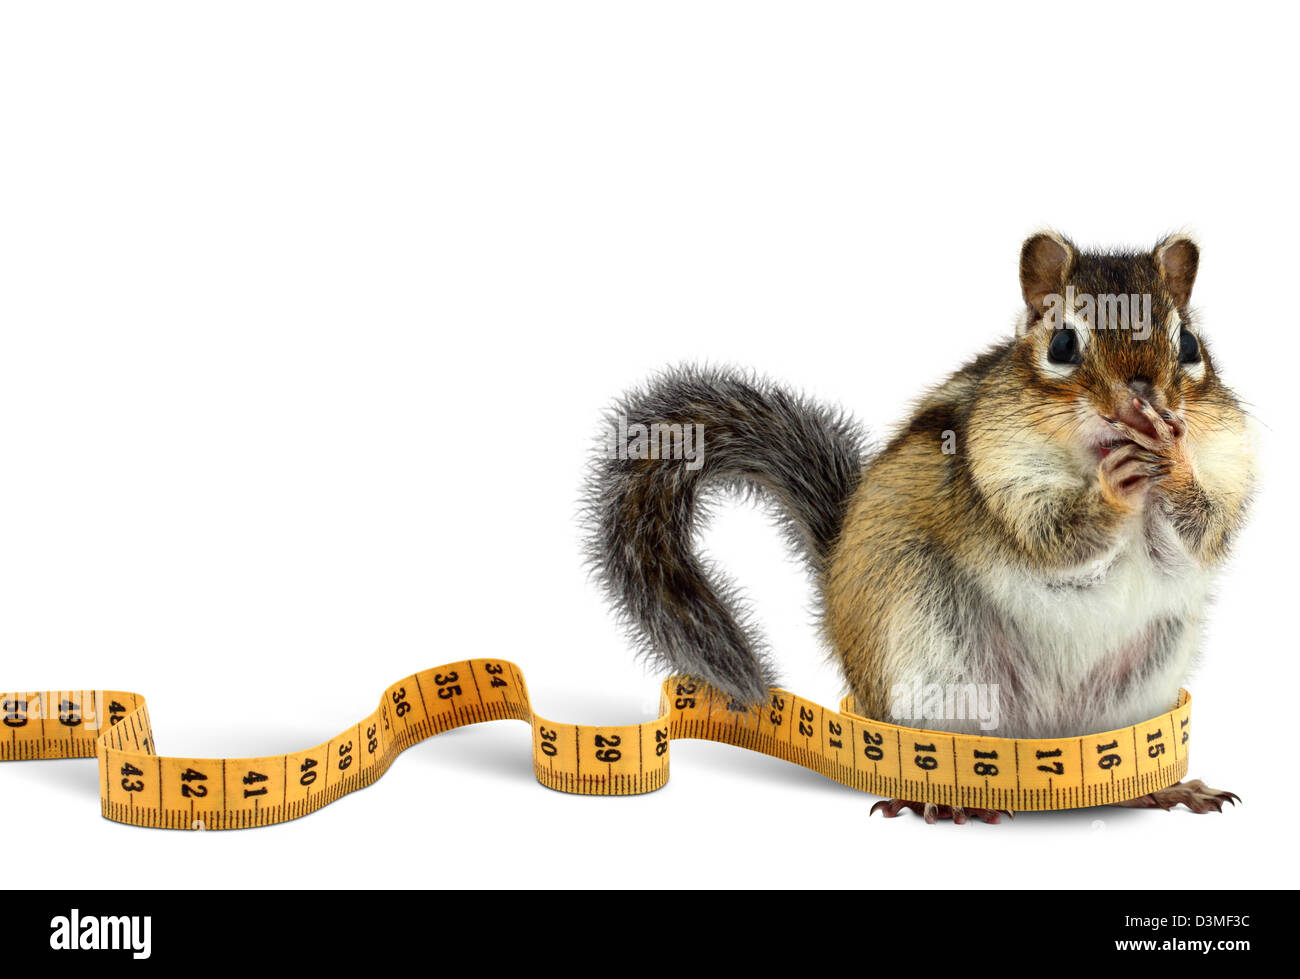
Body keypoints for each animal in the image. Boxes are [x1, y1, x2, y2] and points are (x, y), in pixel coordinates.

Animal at [587, 231, 1256, 823]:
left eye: (1189, 345)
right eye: (1063, 344)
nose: (1141, 404)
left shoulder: (1227, 469)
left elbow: (1203, 529)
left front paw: (1174, 462)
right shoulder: (999, 479)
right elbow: (1057, 539)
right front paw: (1112, 488)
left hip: (1141, 686)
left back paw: (1158, 788)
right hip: (928, 658)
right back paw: (942, 798)